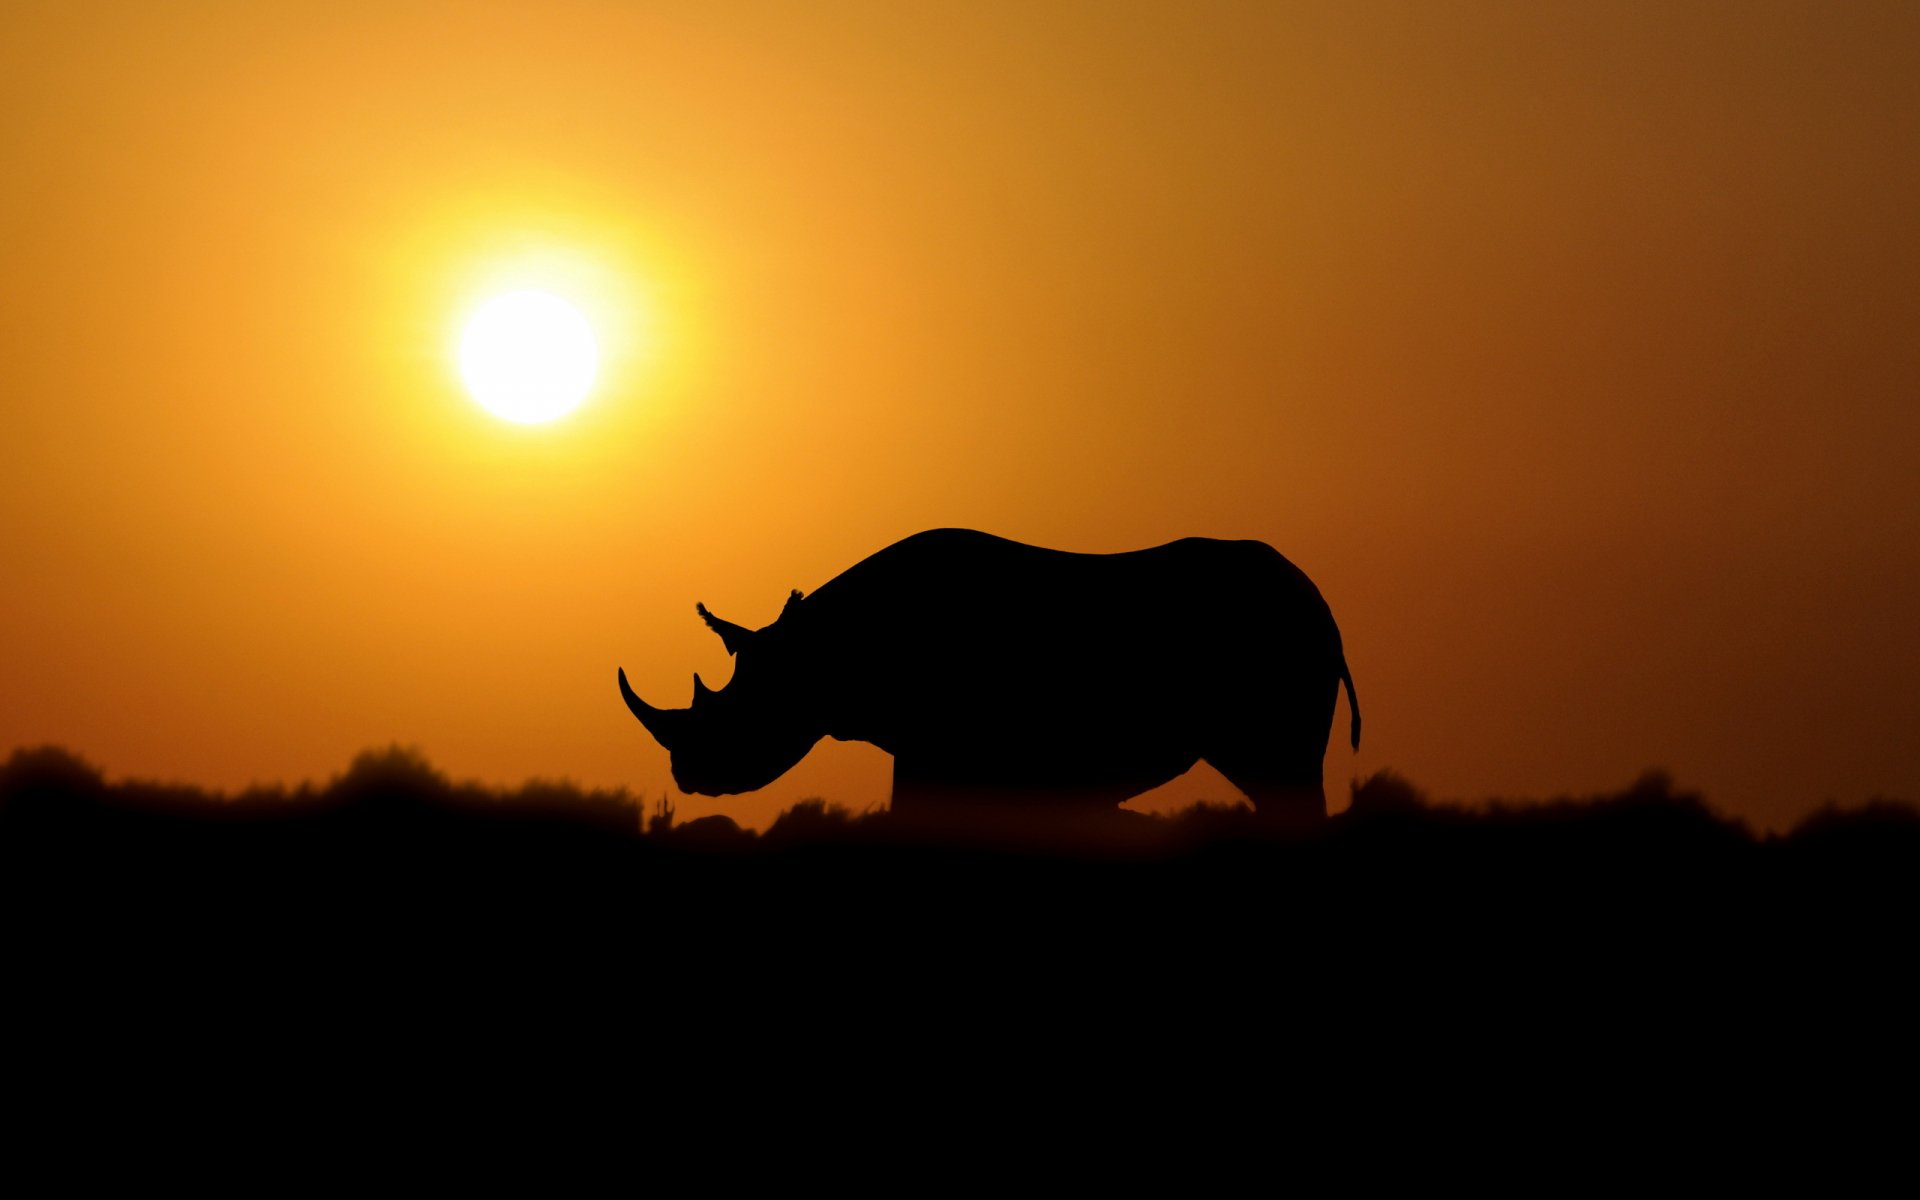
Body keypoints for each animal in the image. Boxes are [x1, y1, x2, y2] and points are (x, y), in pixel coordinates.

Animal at [619, 528, 1359, 821]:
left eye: (740, 716)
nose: (687, 775)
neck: (819, 653)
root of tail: (1323, 605)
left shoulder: (937, 745)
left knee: (1281, 773)